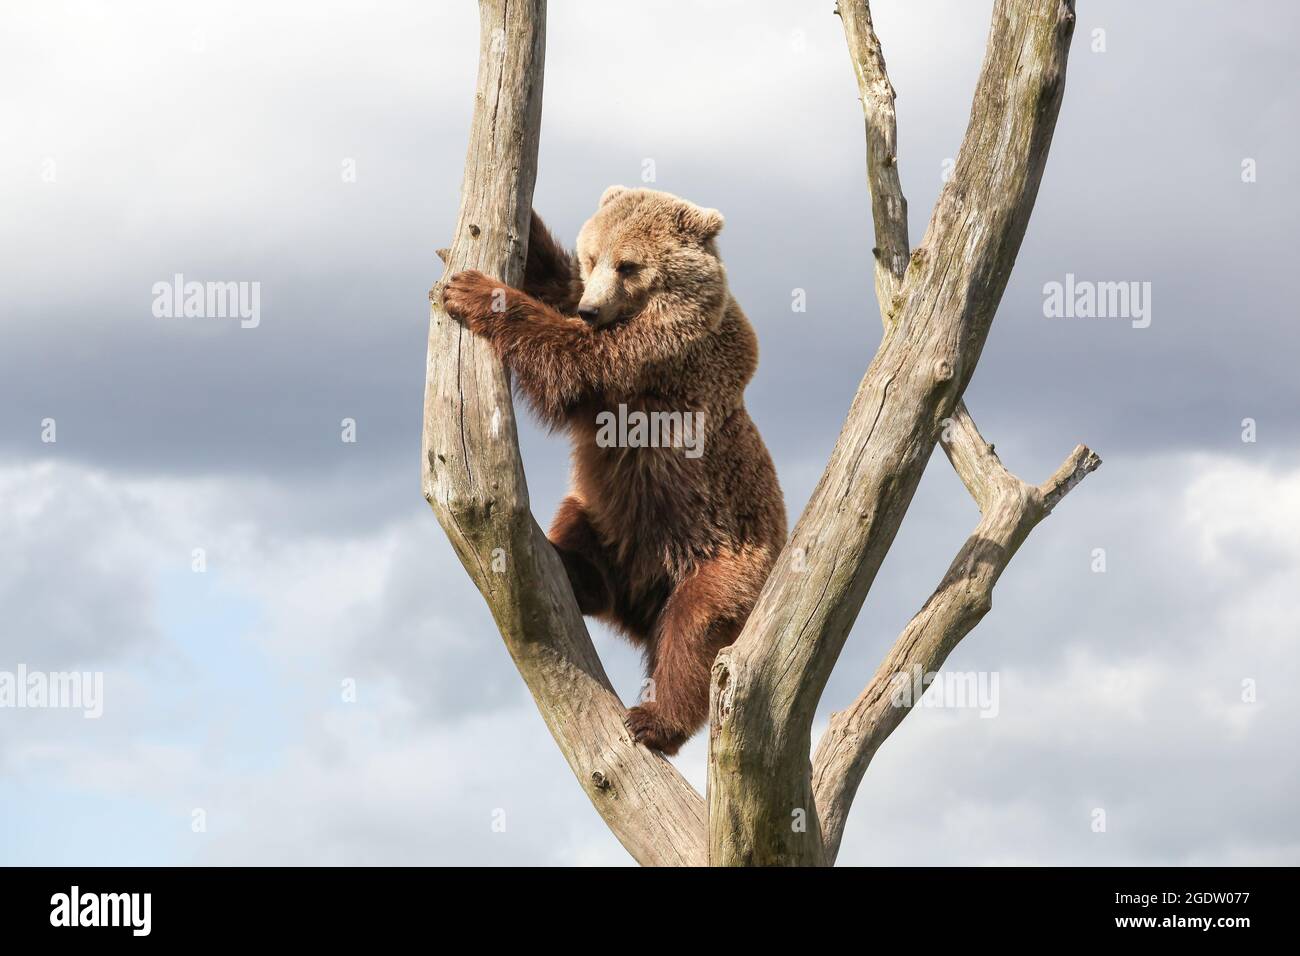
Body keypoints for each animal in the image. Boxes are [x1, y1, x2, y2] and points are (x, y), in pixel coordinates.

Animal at [441, 186, 787, 755]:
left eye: (629, 265)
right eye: (592, 256)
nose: (592, 307)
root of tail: (643, 599)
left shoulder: (655, 361)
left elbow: (572, 361)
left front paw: (474, 290)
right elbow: (554, 283)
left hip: (722, 563)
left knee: (695, 635)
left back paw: (655, 720)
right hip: (613, 522)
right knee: (581, 525)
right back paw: (575, 571)